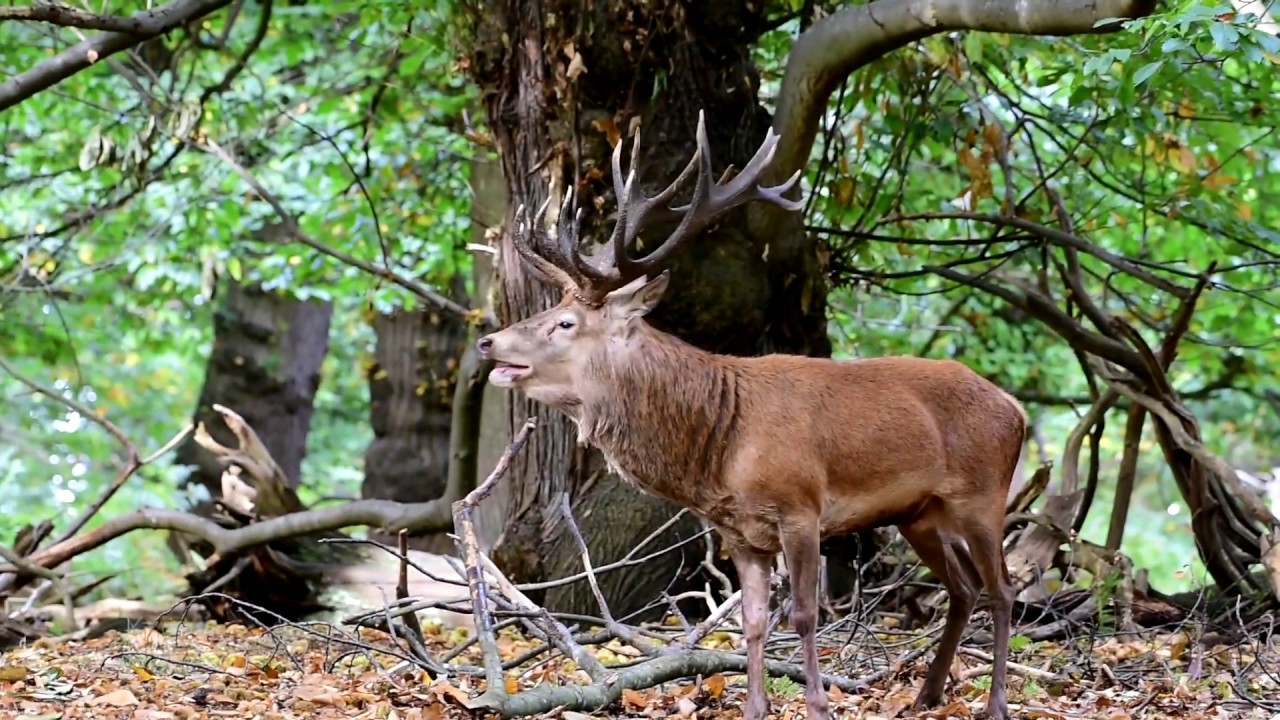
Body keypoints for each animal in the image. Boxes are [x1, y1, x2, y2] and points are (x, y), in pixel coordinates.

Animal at [475, 110, 1025, 720]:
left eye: (566, 323)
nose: (489, 342)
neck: (722, 446)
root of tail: (1015, 408)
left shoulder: (801, 507)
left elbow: (804, 615)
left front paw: (818, 706)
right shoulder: (739, 531)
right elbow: (753, 622)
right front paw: (756, 707)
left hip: (983, 495)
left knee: (1003, 590)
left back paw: (997, 703)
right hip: (920, 513)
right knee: (963, 587)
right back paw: (927, 695)